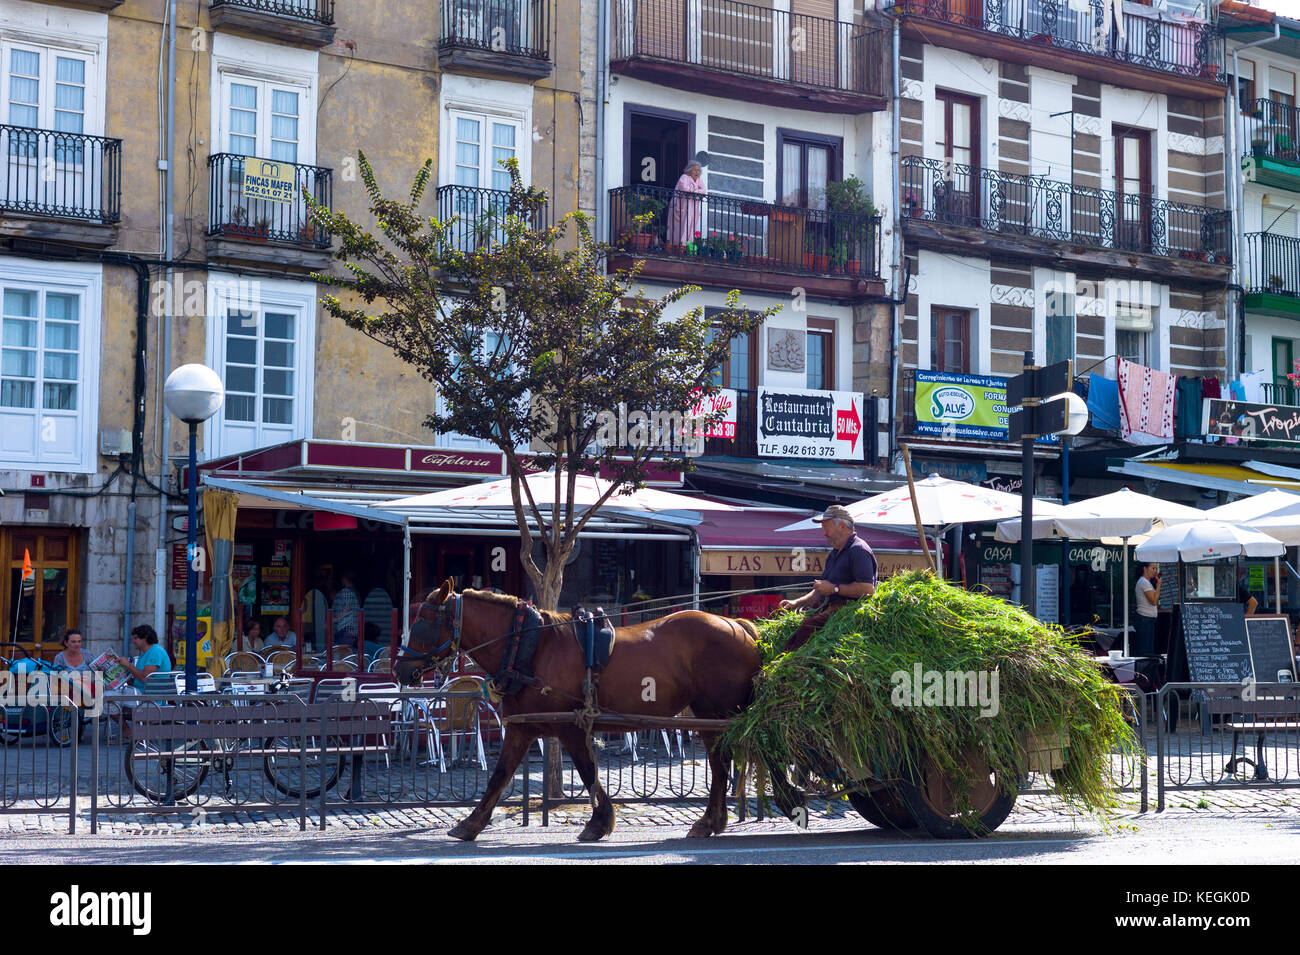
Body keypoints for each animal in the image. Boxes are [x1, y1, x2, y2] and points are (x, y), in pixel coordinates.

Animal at [395, 579, 762, 842]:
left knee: (720, 764)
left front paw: (599, 823)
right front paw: (471, 824)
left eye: (422, 622)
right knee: (719, 764)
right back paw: (711, 821)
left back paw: (710, 820)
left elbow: (588, 771)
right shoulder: (521, 728)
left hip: (716, 712)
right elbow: (500, 775)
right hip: (708, 715)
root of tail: (739, 625)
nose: (400, 670)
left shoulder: (569, 727)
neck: (528, 646)